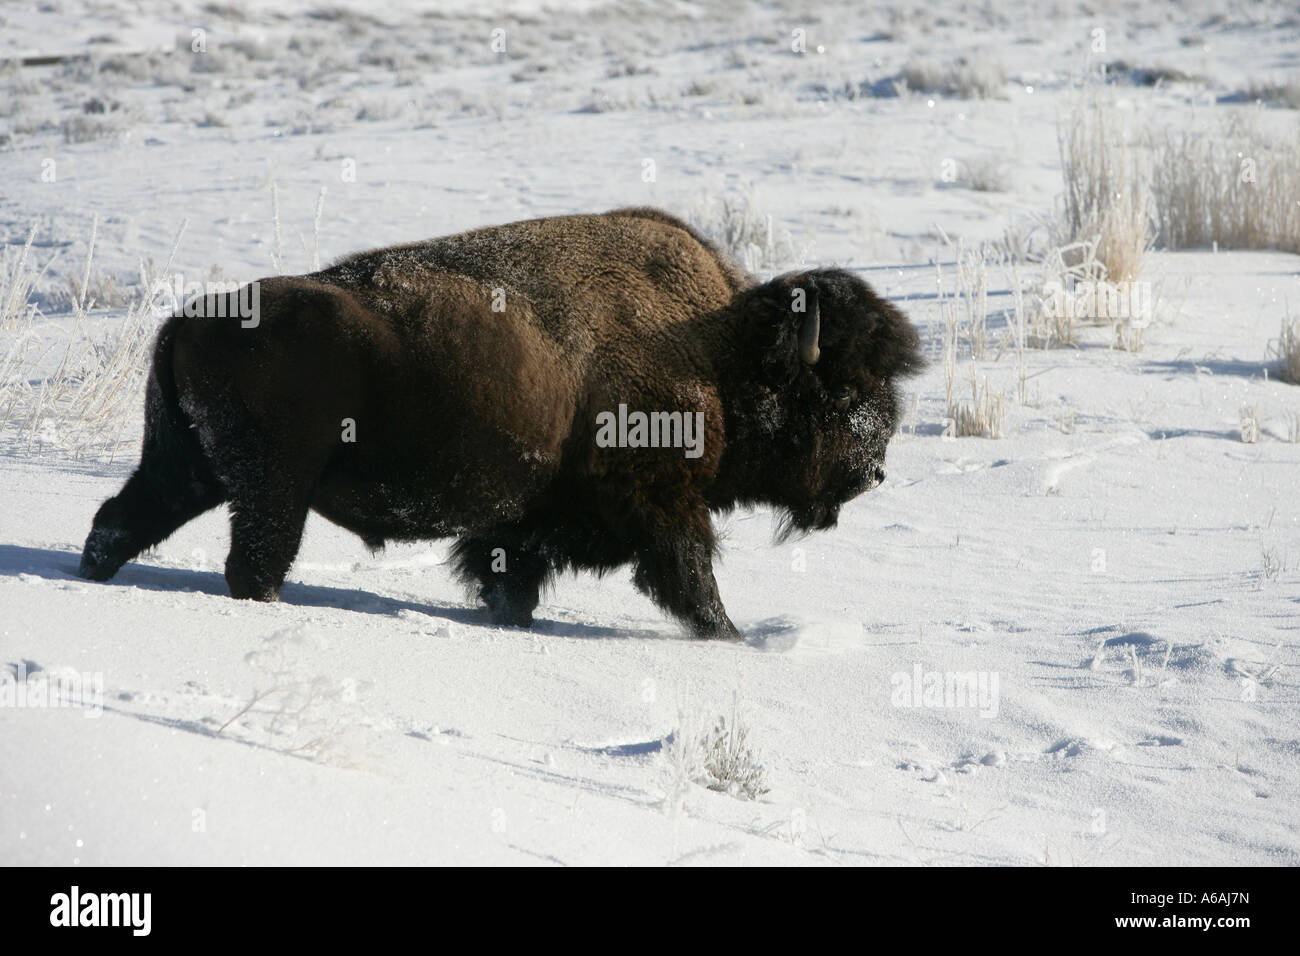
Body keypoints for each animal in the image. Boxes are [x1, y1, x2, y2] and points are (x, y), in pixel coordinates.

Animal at [79, 208, 923, 640]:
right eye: (836, 388)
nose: (876, 468)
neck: (717, 346)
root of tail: (184, 322)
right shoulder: (663, 505)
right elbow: (693, 575)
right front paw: (729, 637)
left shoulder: (531, 521)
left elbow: (511, 574)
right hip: (272, 485)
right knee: (253, 559)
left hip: (187, 465)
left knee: (122, 517)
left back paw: (88, 576)